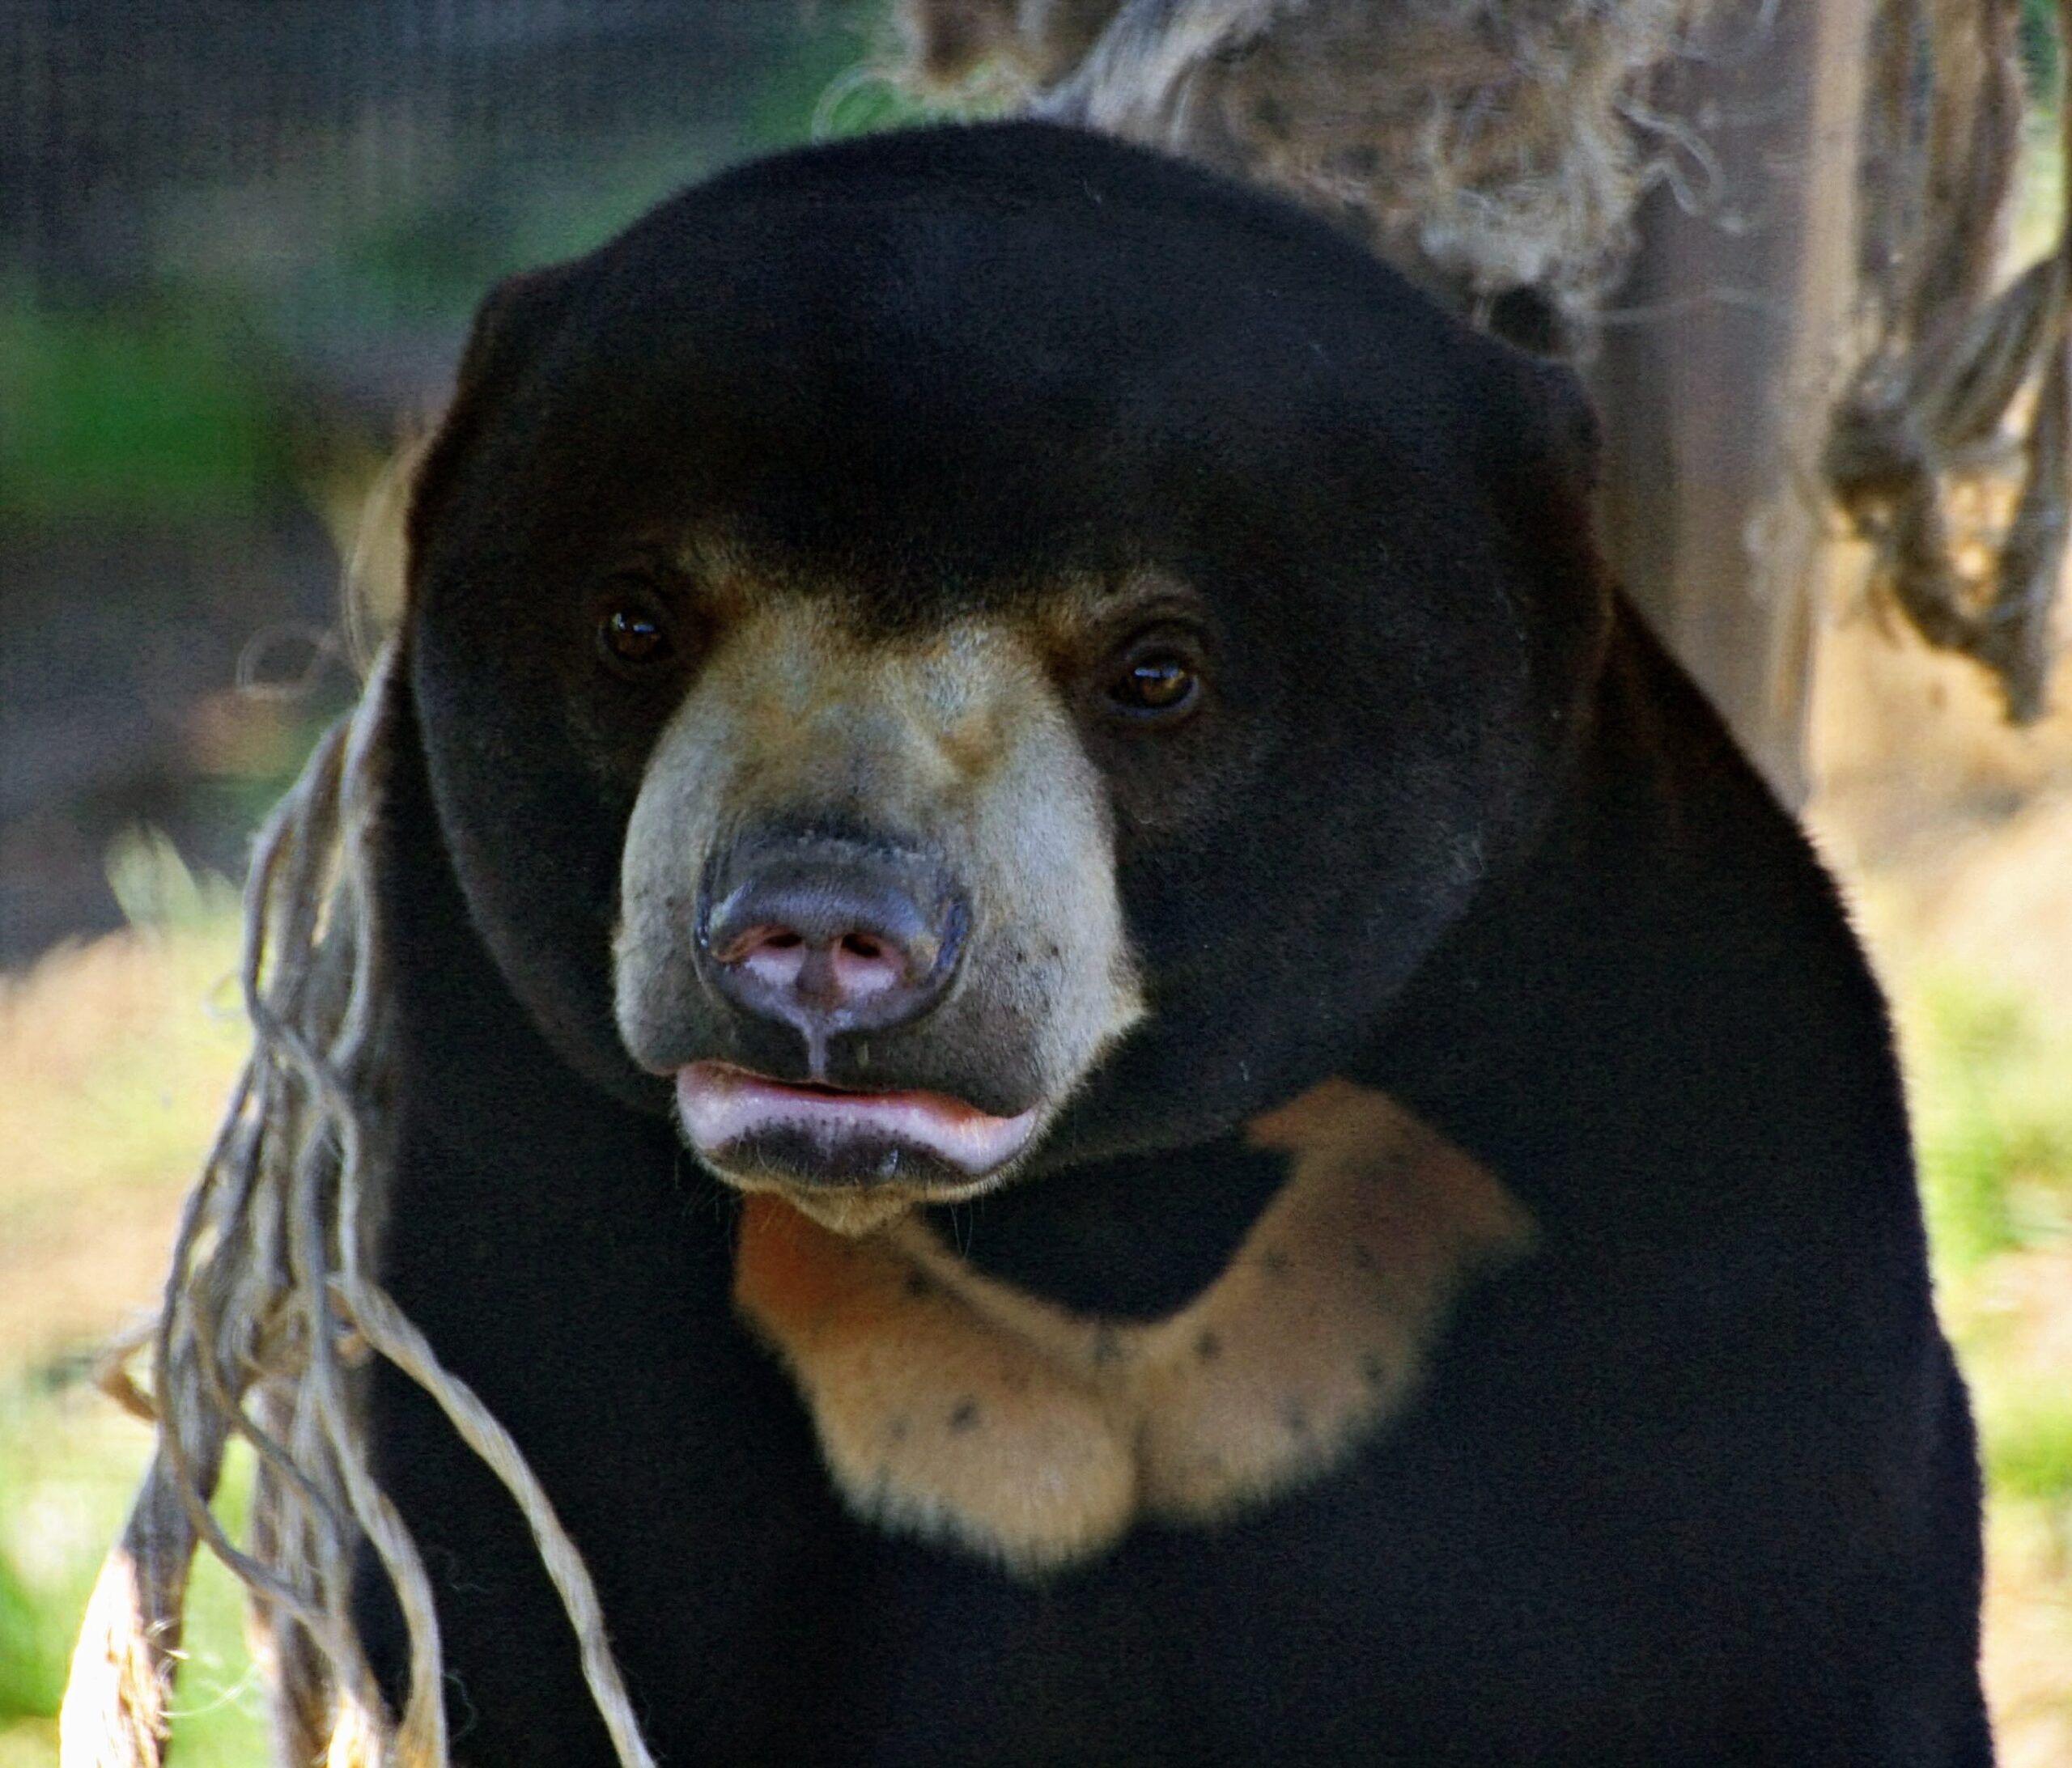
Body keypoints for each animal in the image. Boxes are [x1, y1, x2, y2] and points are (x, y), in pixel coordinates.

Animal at [343, 120, 1991, 1764]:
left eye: (1156, 670)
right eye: (636, 625)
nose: (818, 930)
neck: (1105, 1216)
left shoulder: (1693, 1141)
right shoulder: (527, 1246)